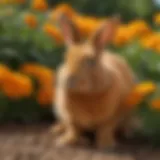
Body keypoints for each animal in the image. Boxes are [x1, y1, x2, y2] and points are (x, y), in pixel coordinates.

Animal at [52, 13, 137, 149]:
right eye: (66, 58)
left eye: (90, 61)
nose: (68, 79)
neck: (86, 94)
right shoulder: (70, 116)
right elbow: (73, 129)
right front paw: (64, 142)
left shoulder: (112, 116)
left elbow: (105, 129)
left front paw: (107, 145)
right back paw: (58, 130)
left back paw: (128, 133)